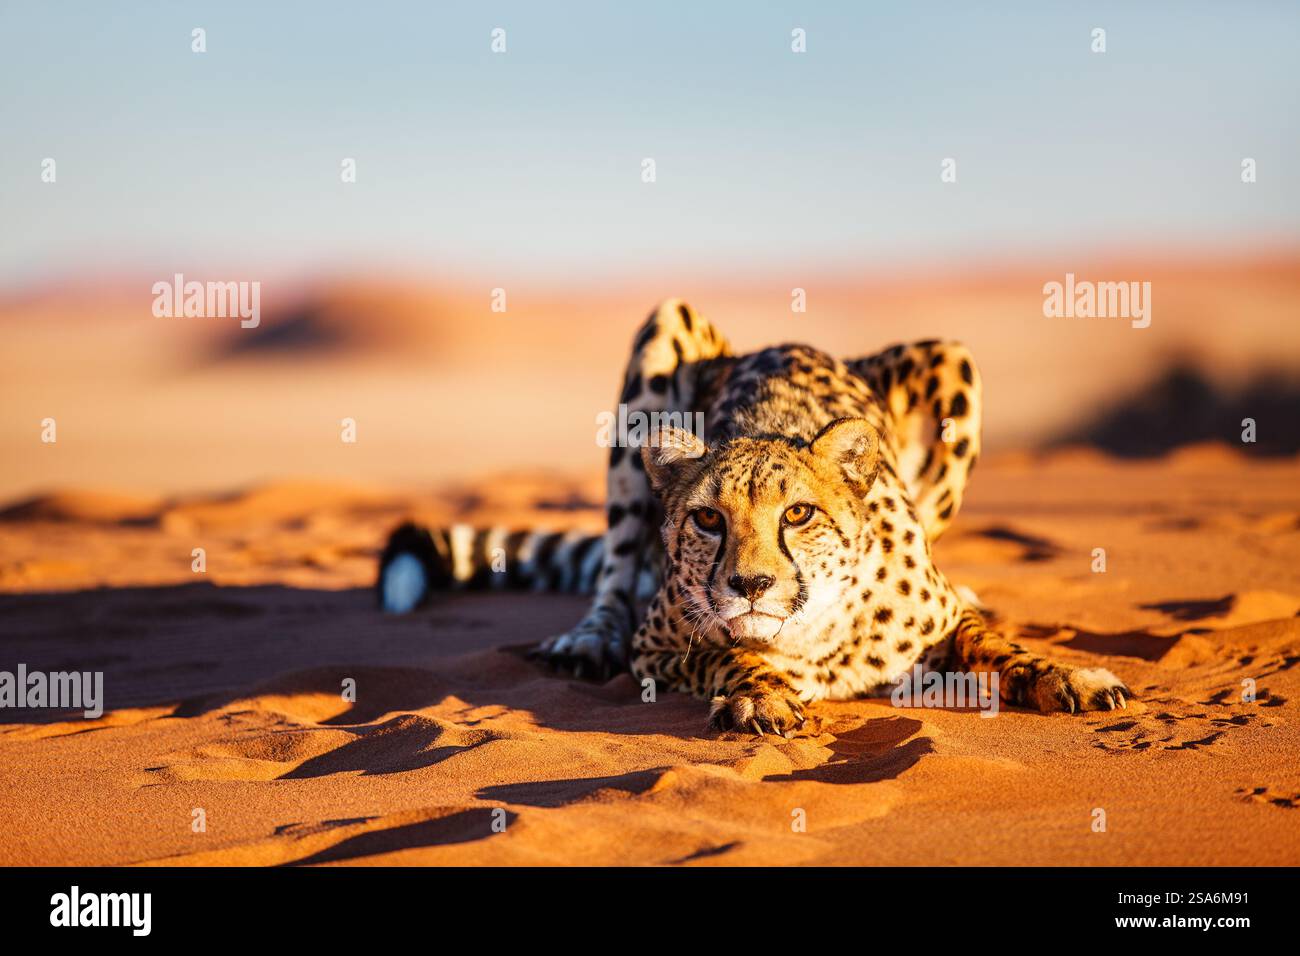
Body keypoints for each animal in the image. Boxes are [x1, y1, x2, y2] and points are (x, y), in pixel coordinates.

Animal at [377, 299, 1130, 734]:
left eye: (798, 514)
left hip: (952, 361)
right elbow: (725, 652)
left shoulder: (941, 620)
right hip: (660, 337)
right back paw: (588, 639)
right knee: (616, 570)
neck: (816, 625)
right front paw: (760, 694)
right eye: (709, 520)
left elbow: (994, 644)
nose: (750, 585)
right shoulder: (656, 648)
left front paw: (1069, 675)